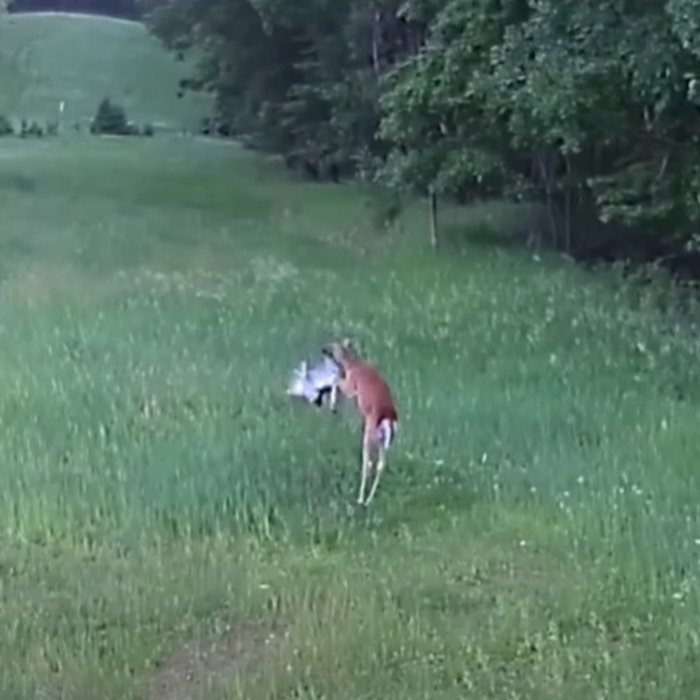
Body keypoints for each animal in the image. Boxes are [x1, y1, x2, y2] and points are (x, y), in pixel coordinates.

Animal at [322, 338, 398, 506]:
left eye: (333, 345)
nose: (323, 349)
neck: (353, 365)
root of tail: (388, 419)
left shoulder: (351, 386)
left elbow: (336, 380)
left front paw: (333, 404)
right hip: (384, 440)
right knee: (380, 464)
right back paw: (368, 499)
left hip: (370, 434)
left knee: (367, 463)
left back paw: (361, 498)